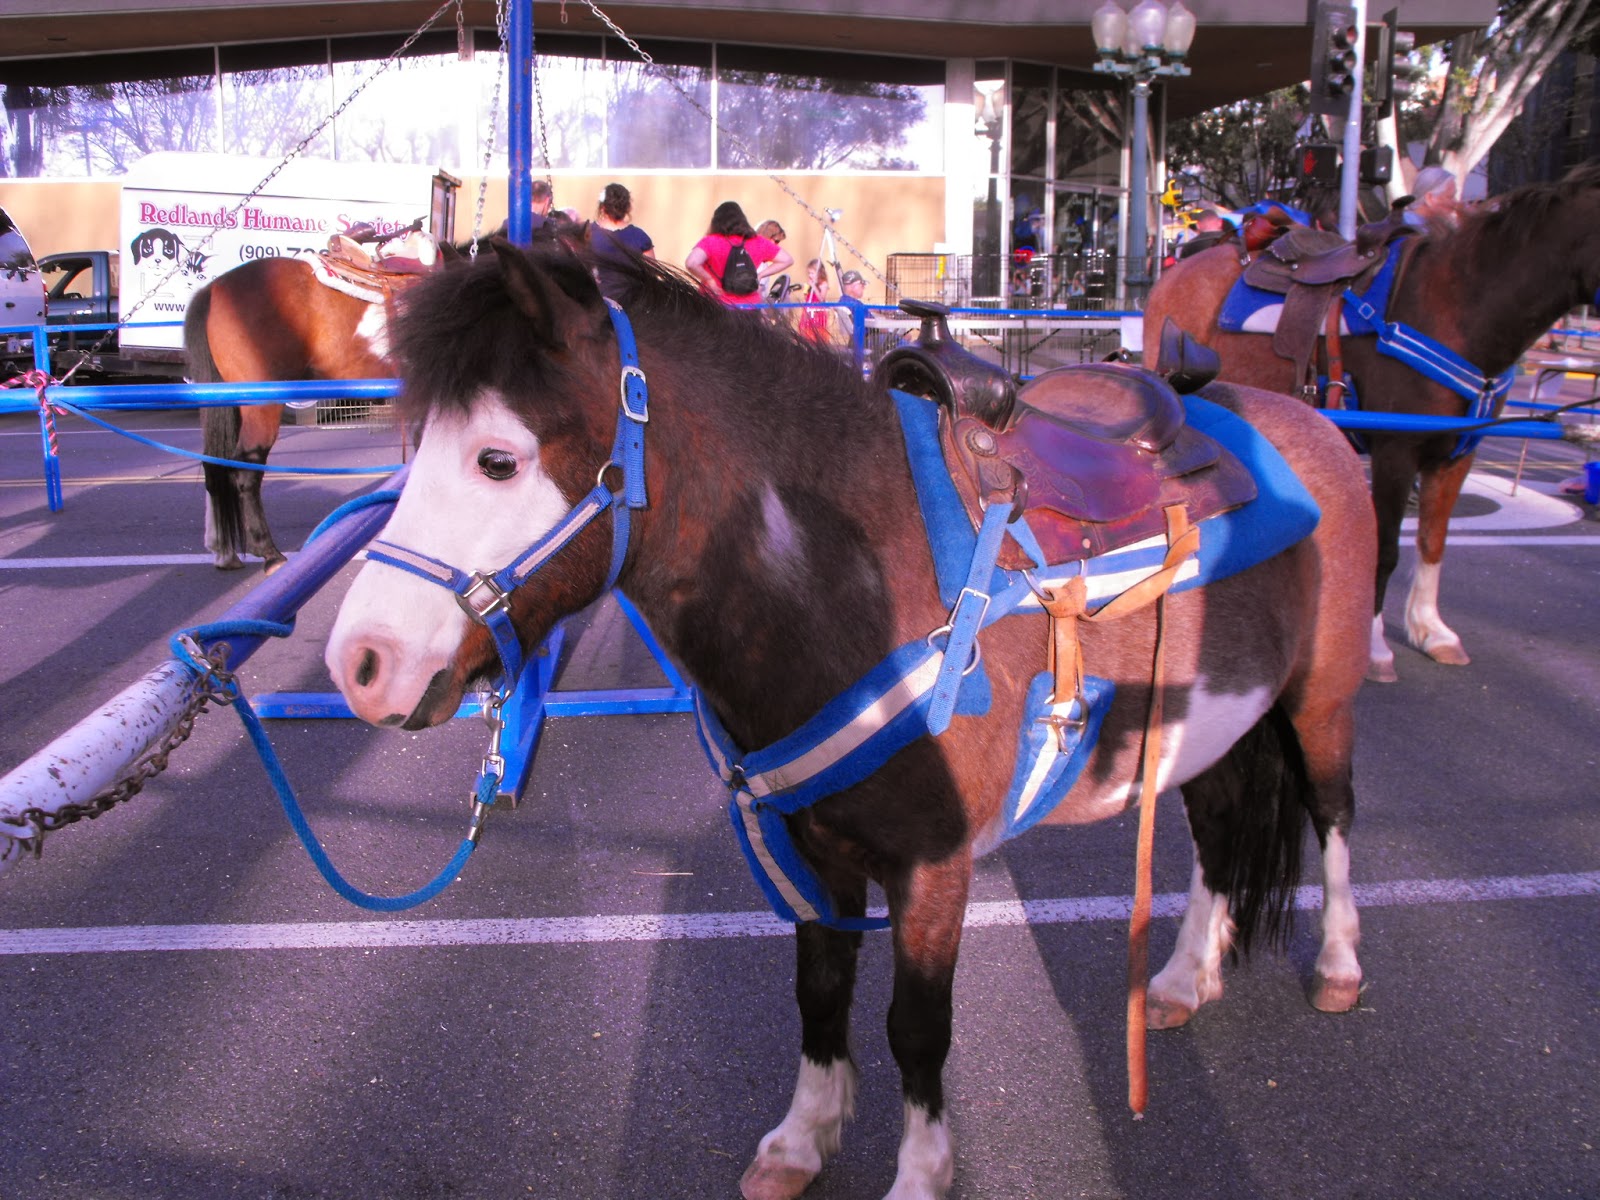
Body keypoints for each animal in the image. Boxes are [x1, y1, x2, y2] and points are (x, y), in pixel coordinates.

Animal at [322, 240, 1375, 1199]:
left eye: (498, 460)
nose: (360, 664)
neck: (854, 579)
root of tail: (1303, 419)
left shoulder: (933, 867)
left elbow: (916, 1028)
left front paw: (920, 1175)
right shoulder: (808, 846)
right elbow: (819, 994)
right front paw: (802, 1139)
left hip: (1319, 702)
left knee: (1331, 813)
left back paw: (1336, 964)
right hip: (1207, 724)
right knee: (1220, 829)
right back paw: (1186, 977)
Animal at [1146, 161, 1600, 681]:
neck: (1455, 307)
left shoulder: (1457, 452)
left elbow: (1432, 539)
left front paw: (1432, 630)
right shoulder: (1396, 449)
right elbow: (1386, 548)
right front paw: (1378, 646)